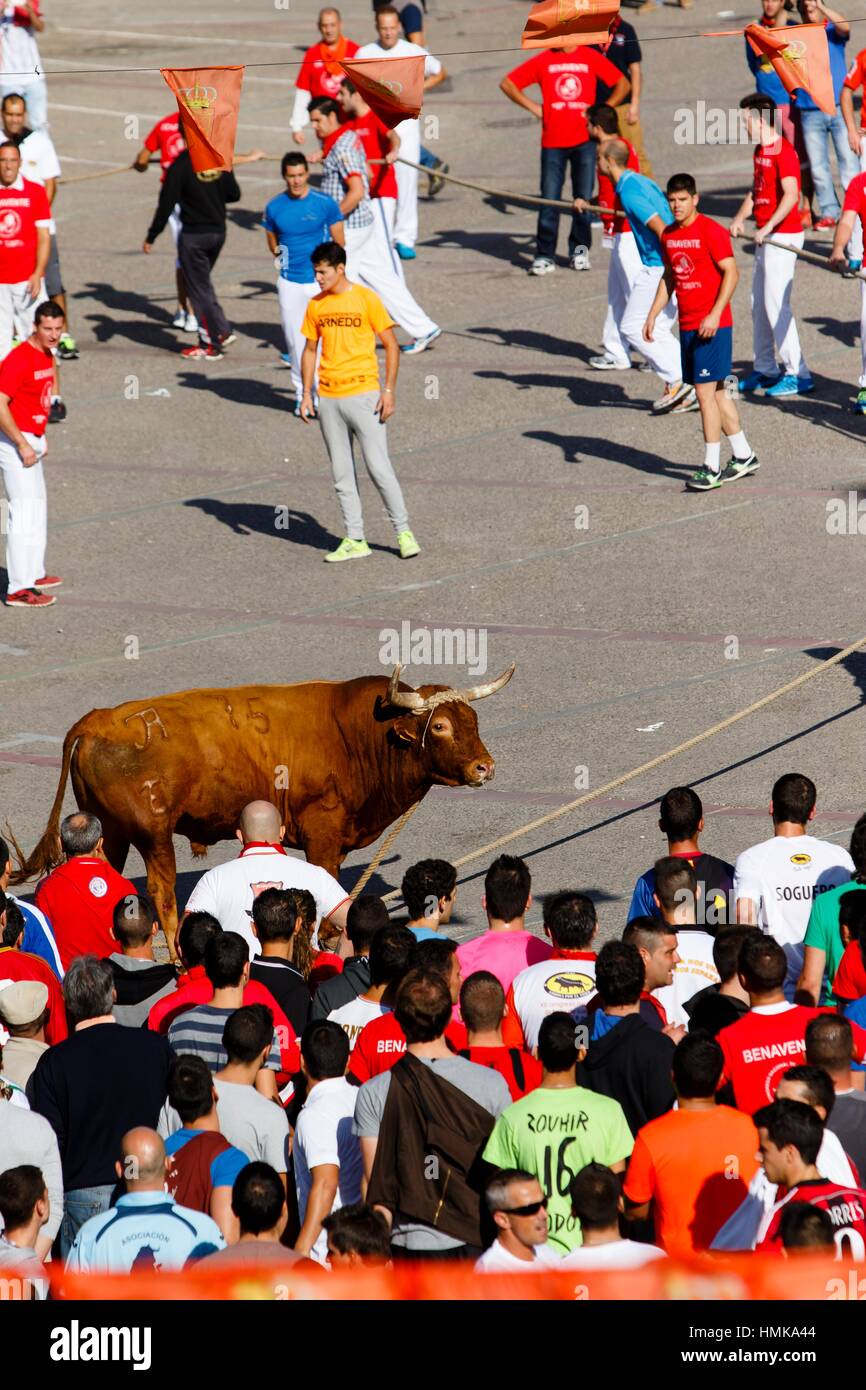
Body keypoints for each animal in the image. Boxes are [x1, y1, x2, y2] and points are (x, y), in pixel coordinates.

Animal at [12, 663, 515, 958]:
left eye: (473, 721)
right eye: (442, 726)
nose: (485, 767)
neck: (364, 735)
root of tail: (98, 718)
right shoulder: (323, 837)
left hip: (109, 830)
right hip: (153, 833)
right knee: (162, 894)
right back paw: (178, 962)